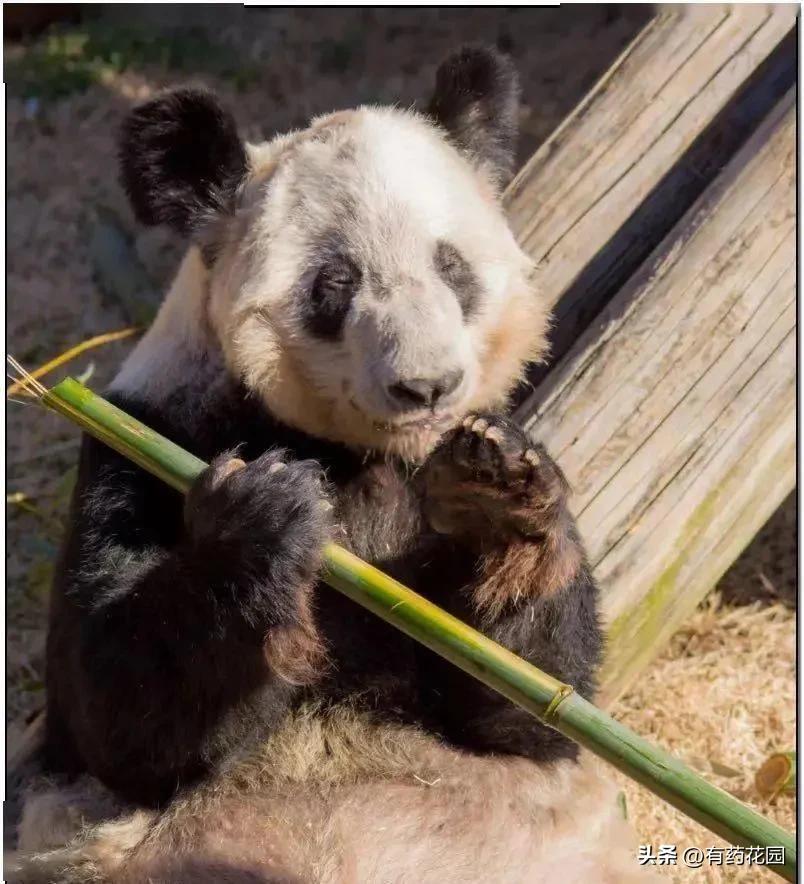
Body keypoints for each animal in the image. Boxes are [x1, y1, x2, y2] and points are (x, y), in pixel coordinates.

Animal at [12, 46, 649, 884]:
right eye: (336, 285)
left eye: (452, 268)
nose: (427, 385)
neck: (369, 453)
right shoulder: (144, 438)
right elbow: (111, 720)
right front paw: (265, 514)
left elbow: (528, 709)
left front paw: (497, 494)